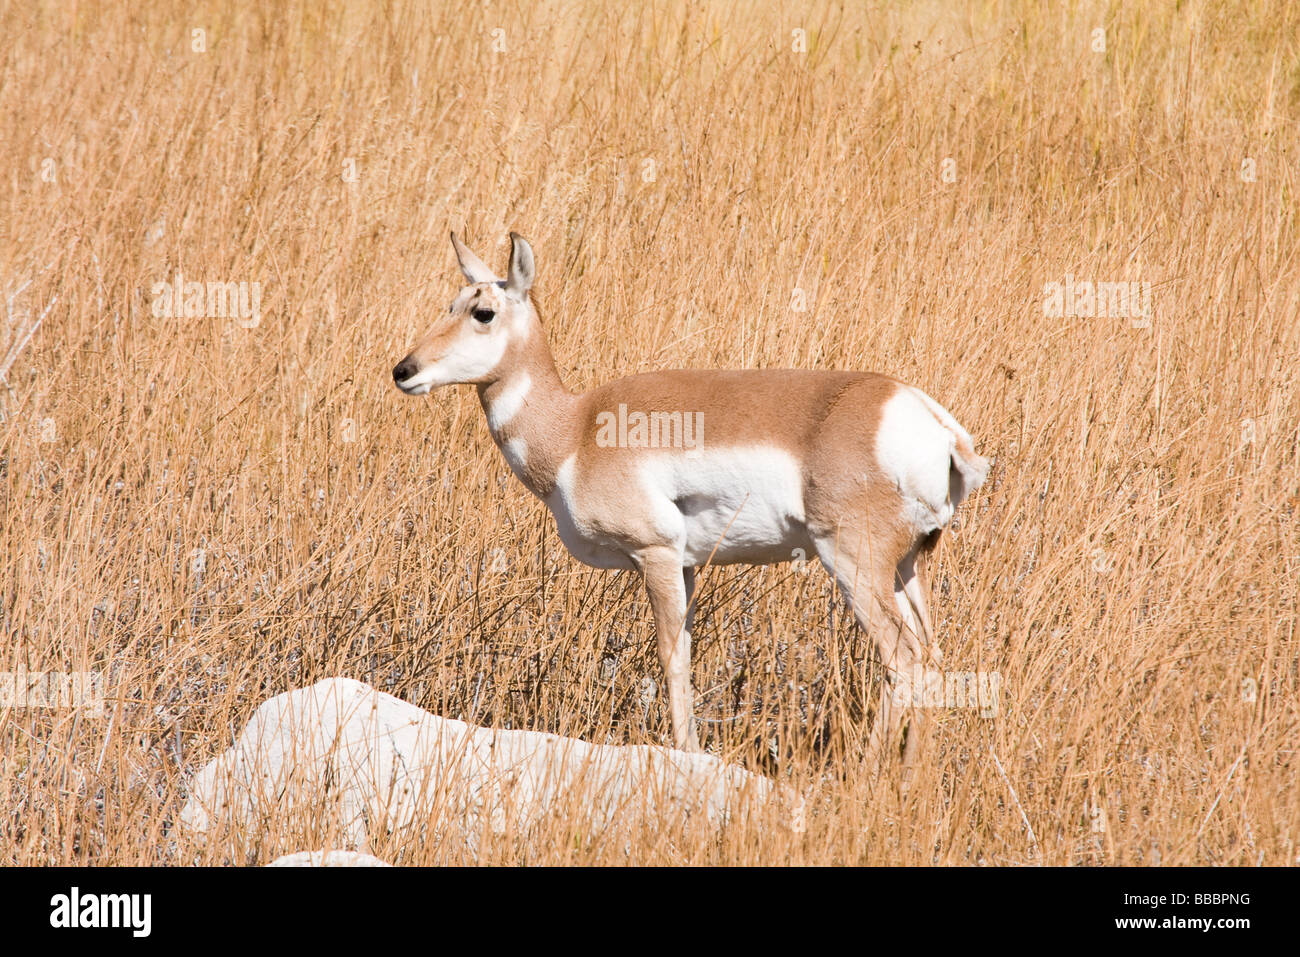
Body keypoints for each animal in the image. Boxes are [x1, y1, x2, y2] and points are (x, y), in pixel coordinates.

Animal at [392, 232, 989, 777]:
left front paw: (688, 753)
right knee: (932, 659)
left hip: (852, 562)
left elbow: (671, 658)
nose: (404, 370)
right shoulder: (688, 567)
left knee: (904, 660)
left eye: (484, 311)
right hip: (907, 568)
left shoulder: (655, 554)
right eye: (451, 303)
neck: (576, 430)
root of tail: (923, 416)